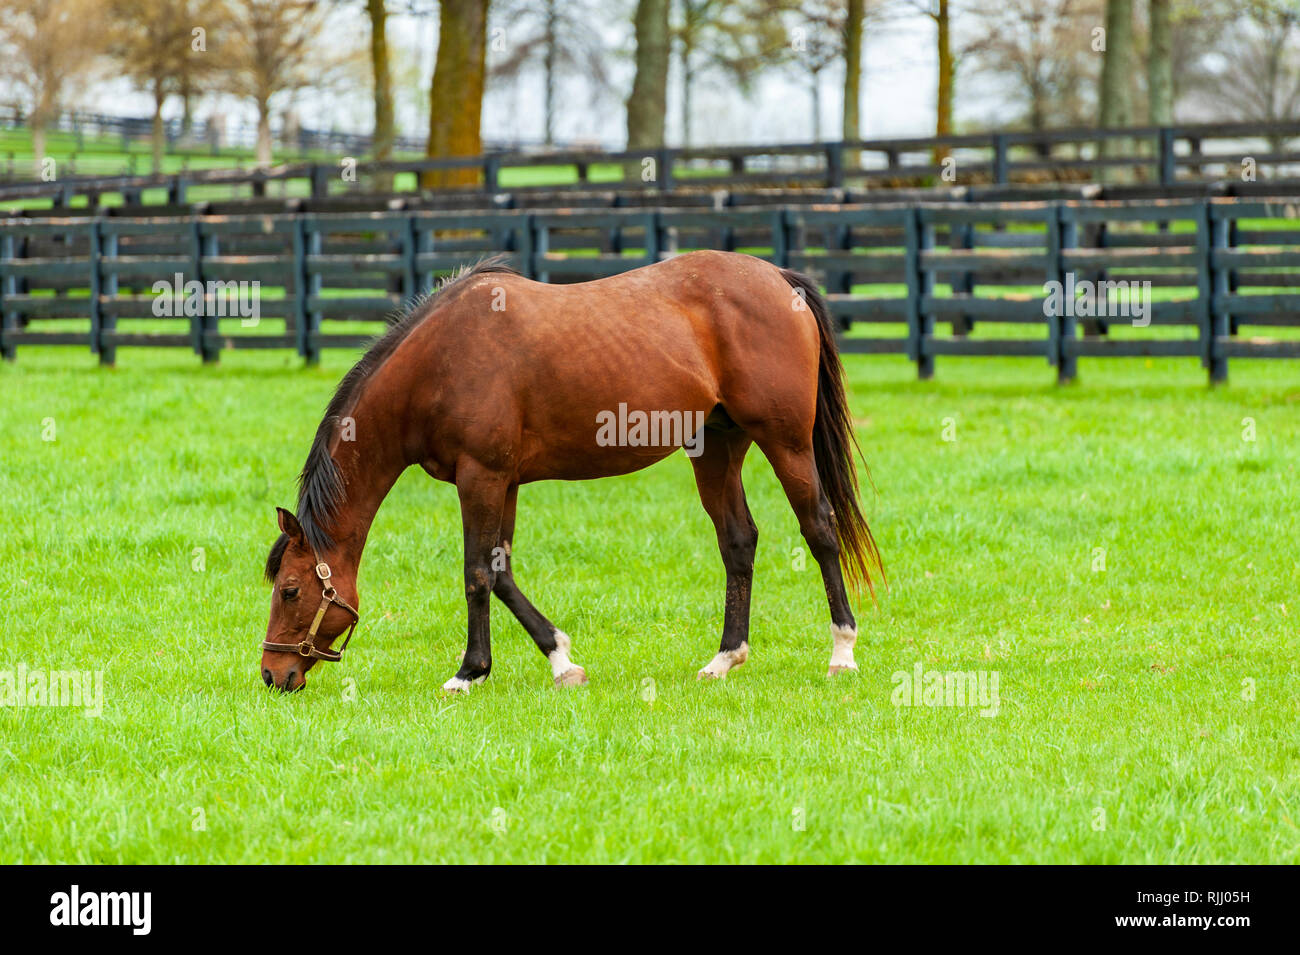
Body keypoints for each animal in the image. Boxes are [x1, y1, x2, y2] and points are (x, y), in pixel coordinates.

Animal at [260, 250, 882, 692]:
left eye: (290, 591)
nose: (272, 674)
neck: (436, 364)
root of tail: (779, 278)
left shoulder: (480, 477)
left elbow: (476, 573)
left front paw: (468, 672)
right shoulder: (503, 481)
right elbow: (502, 572)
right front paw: (562, 661)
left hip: (786, 442)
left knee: (820, 530)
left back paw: (843, 653)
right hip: (717, 447)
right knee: (738, 541)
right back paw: (724, 659)